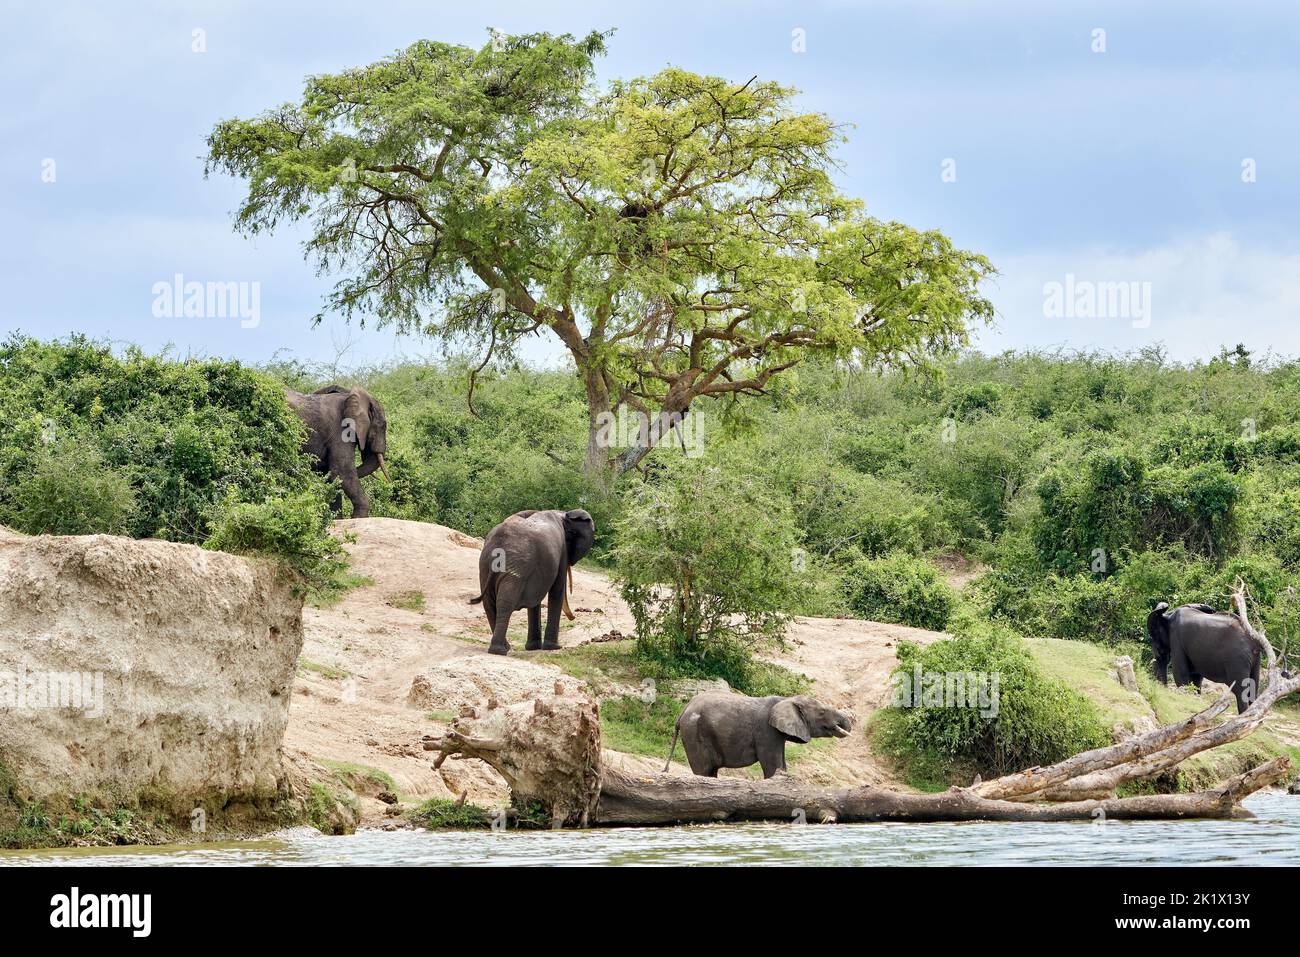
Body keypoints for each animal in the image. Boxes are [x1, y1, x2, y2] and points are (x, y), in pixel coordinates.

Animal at [469, 509, 595, 655]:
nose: (574, 617)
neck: (564, 514)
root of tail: (498, 543)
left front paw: (533, 647)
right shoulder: (562, 552)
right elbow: (557, 590)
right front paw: (554, 647)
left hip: (485, 564)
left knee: (489, 604)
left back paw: (503, 648)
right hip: (516, 565)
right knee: (505, 602)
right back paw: (499, 650)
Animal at [664, 692, 854, 779]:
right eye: (822, 712)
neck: (787, 699)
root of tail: (682, 713)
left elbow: (781, 765)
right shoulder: (766, 731)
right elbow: (773, 765)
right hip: (694, 732)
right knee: (703, 770)